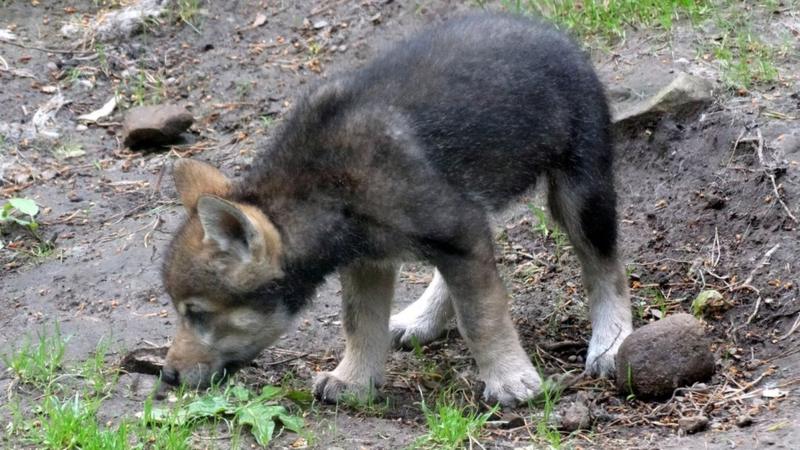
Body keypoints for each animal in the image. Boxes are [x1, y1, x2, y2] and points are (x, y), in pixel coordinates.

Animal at [160, 13, 632, 406]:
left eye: (198, 313)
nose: (167, 376)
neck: (321, 187)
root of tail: (555, 33)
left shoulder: (455, 229)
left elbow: (481, 317)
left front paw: (511, 381)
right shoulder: (371, 260)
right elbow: (360, 322)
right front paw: (353, 381)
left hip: (580, 192)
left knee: (605, 268)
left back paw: (611, 341)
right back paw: (421, 318)